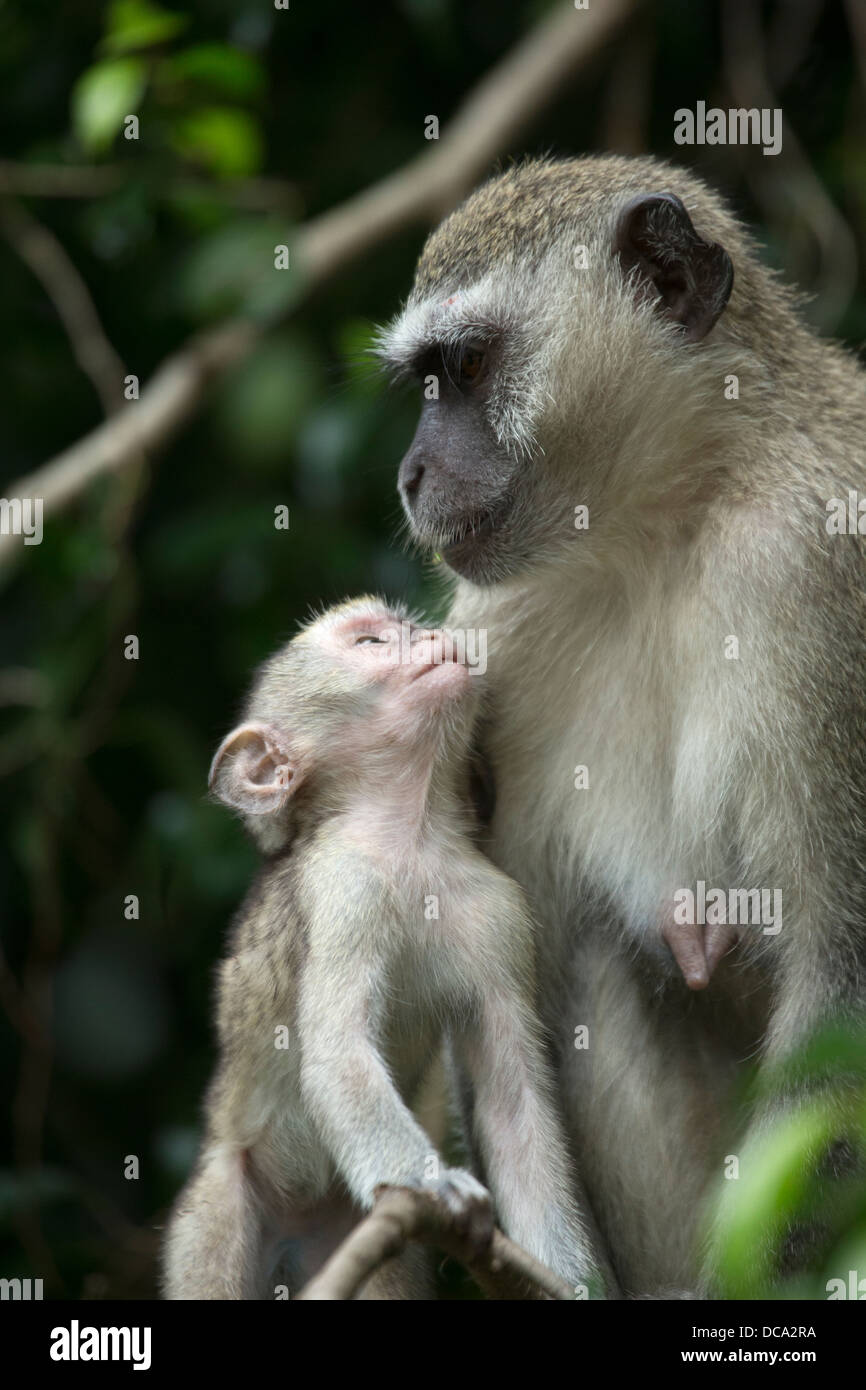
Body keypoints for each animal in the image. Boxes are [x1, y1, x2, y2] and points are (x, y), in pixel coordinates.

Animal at [162, 597, 596, 1299]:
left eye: (407, 628)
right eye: (370, 642)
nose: (429, 637)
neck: (413, 837)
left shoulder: (500, 912)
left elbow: (514, 1100)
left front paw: (568, 1278)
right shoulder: (347, 889)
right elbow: (337, 1055)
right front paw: (436, 1184)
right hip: (220, 1201)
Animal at [376, 154, 866, 1297]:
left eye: (467, 367)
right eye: (427, 383)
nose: (410, 476)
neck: (668, 522)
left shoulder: (820, 567)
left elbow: (843, 982)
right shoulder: (493, 636)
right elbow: (509, 993)